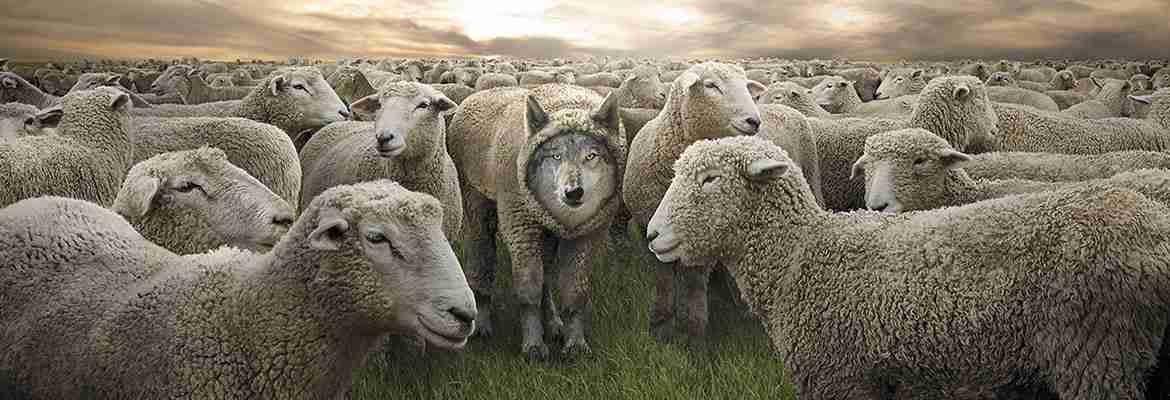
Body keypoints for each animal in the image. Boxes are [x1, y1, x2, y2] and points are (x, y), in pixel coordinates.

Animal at [448, 84, 627, 360]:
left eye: (592, 156)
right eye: (555, 156)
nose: (573, 192)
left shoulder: (588, 234)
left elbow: (575, 291)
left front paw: (575, 344)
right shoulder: (520, 226)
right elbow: (528, 289)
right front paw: (532, 346)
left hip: (546, 230)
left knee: (545, 277)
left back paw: (553, 324)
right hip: (476, 204)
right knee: (482, 260)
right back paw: (483, 323)